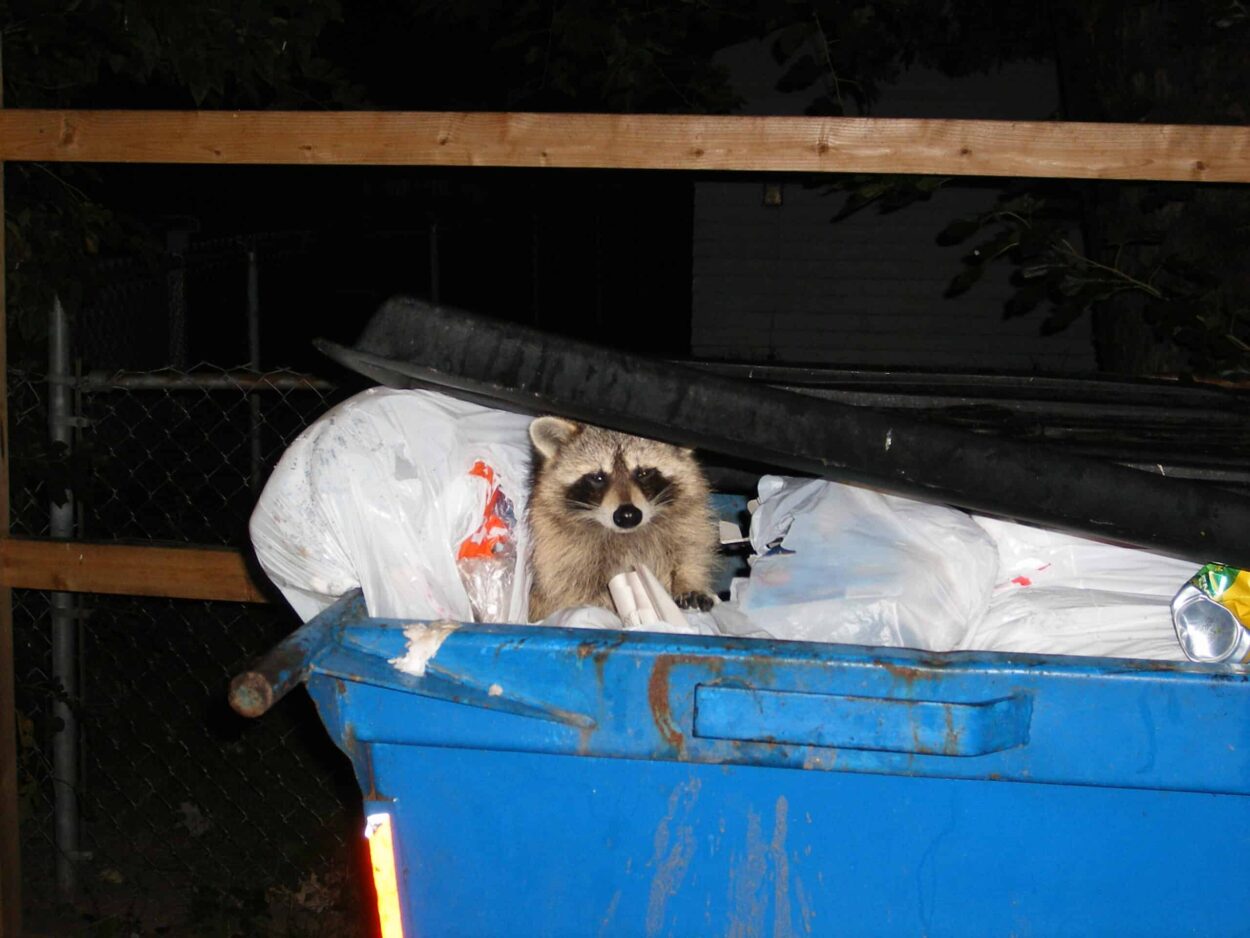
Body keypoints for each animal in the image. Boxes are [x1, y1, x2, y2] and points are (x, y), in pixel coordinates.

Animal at [526, 416, 719, 622]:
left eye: (643, 473)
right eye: (598, 477)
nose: (628, 515)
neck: (627, 534)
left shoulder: (688, 518)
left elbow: (691, 550)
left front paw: (688, 581)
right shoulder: (556, 546)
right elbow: (569, 587)